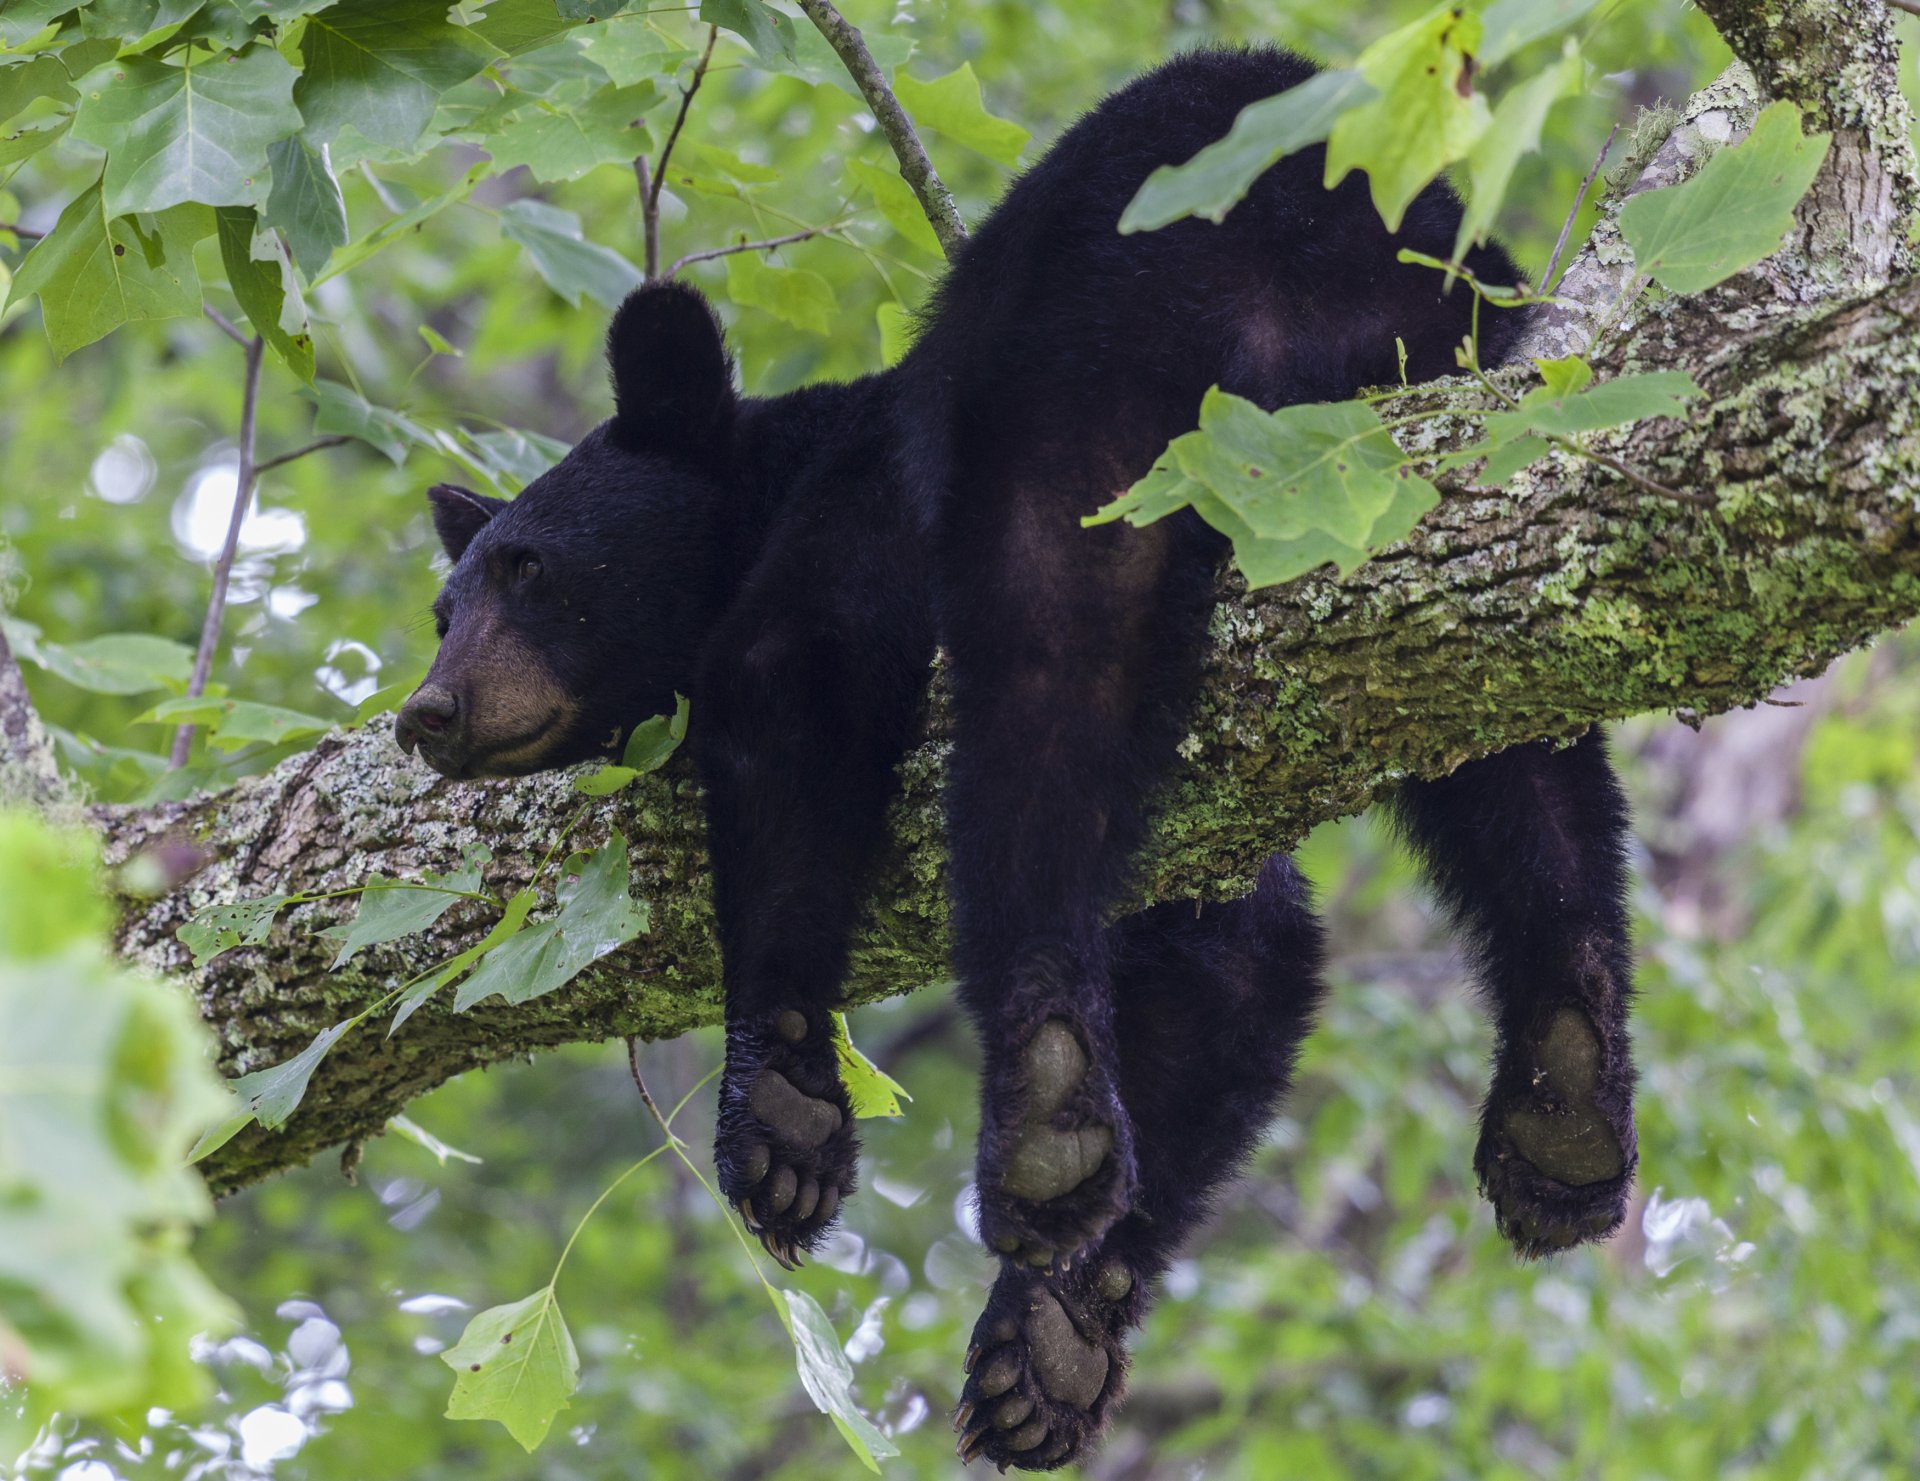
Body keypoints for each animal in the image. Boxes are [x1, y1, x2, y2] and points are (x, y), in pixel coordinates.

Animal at [396, 45, 1637, 1472]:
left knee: (1049, 669)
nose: (427, 711)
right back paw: (1564, 1086)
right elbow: (1239, 953)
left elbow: (791, 677)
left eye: (533, 573)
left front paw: (784, 1111)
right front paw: (1052, 1342)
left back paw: (1038, 1096)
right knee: (1512, 712)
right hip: (1440, 411)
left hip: (1097, 364)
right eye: (443, 607)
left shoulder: (866, 499)